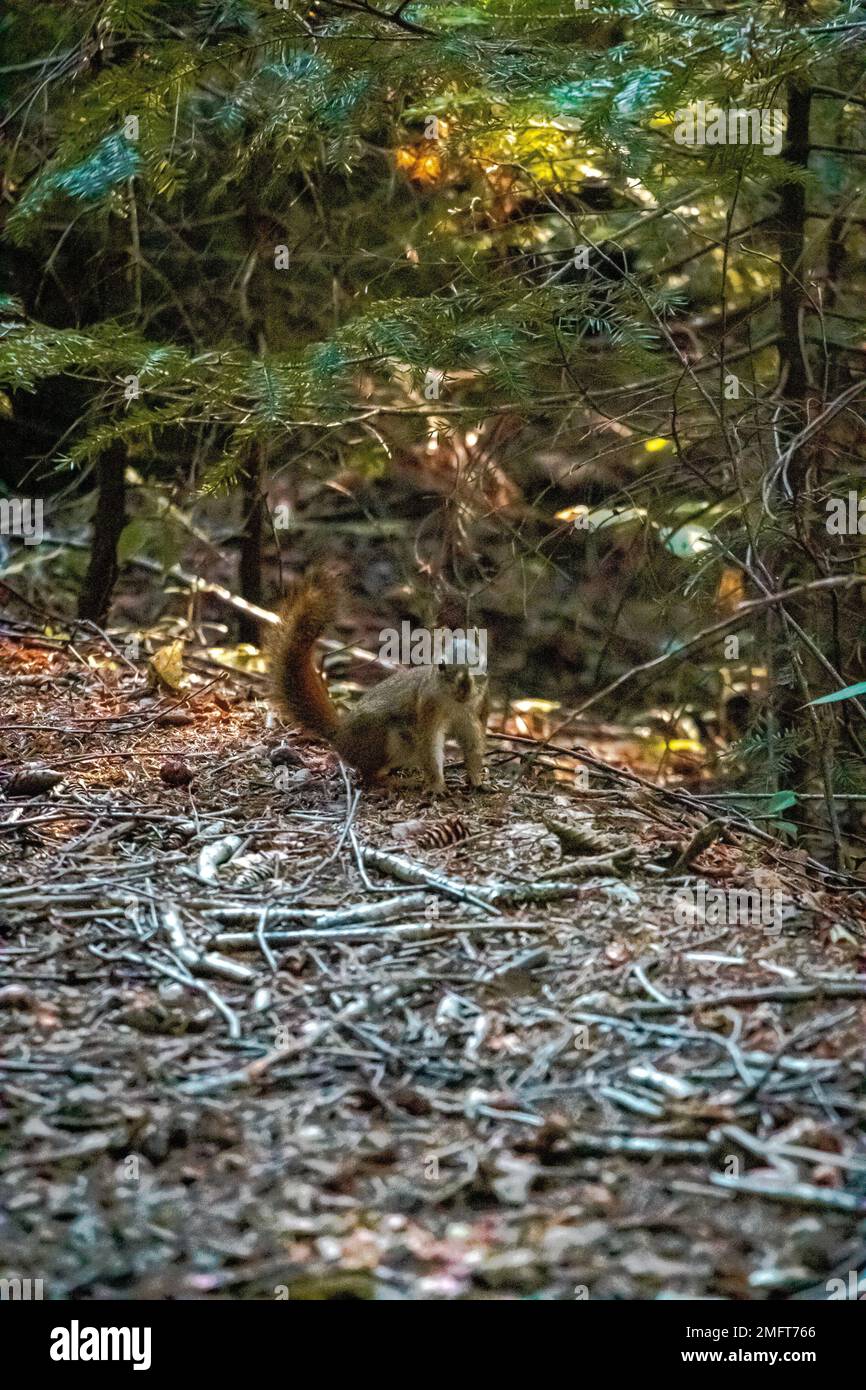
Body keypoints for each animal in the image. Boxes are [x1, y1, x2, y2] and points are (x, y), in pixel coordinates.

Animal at [268, 569, 489, 793]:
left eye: (481, 663)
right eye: (441, 666)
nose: (464, 687)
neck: (454, 702)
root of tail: (341, 737)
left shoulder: (473, 713)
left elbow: (472, 745)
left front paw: (477, 781)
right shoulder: (427, 707)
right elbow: (430, 746)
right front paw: (437, 786)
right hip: (383, 736)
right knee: (368, 775)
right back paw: (396, 782)